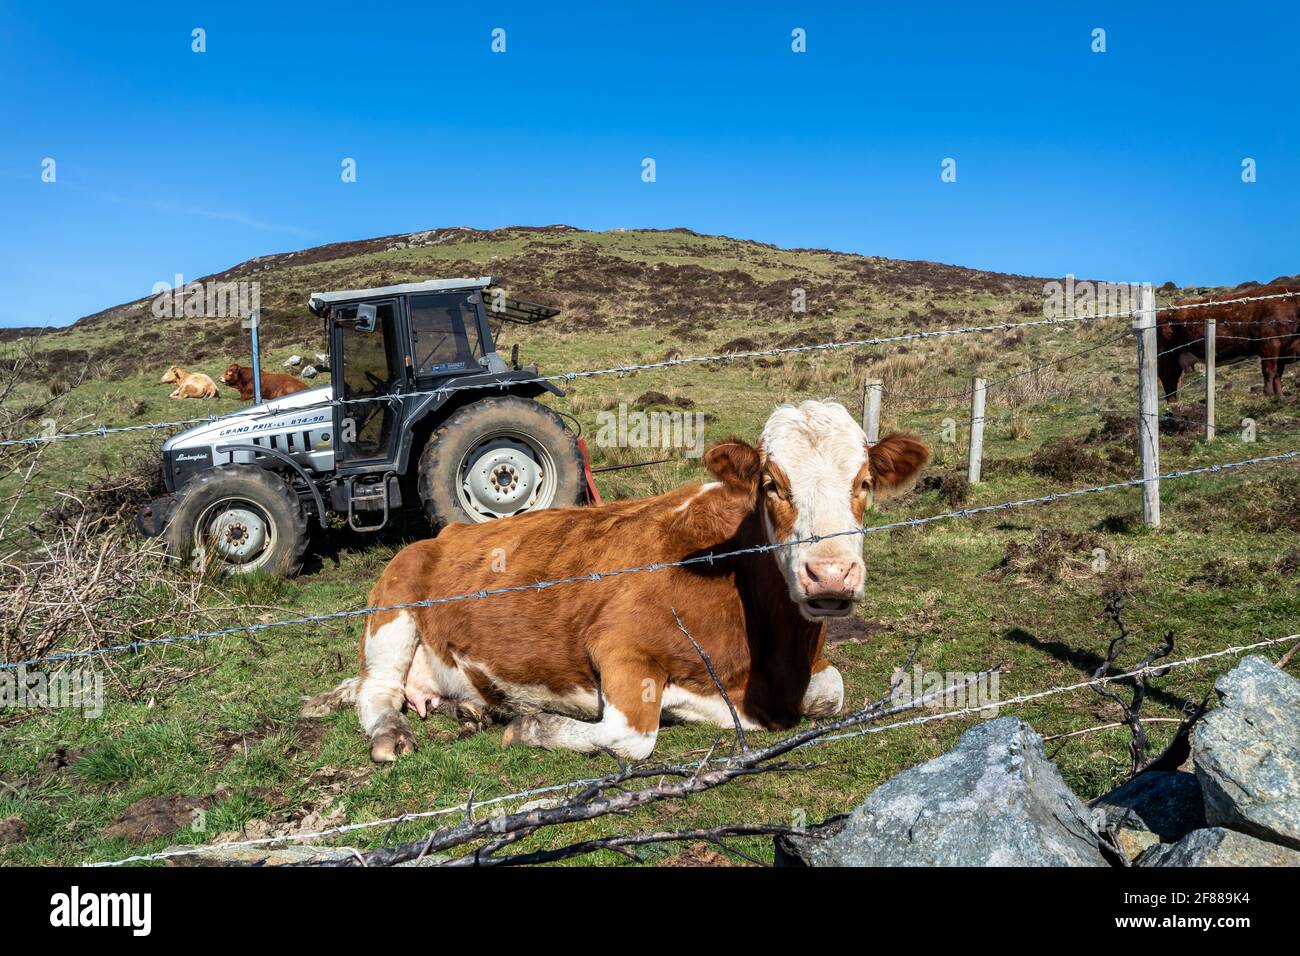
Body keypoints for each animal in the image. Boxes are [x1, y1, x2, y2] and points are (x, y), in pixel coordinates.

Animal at [302, 400, 930, 763]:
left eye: (865, 482)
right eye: (772, 484)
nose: (830, 574)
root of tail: (444, 533)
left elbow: (832, 691)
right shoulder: (621, 647)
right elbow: (634, 737)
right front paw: (533, 727)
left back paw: (471, 710)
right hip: (393, 607)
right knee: (378, 691)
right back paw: (392, 735)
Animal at [1157, 283, 1300, 399]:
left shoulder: (1283, 349)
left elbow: (1278, 374)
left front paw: (1280, 396)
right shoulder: (1269, 343)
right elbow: (1269, 371)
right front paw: (1268, 395)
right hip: (1167, 355)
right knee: (1168, 379)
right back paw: (1173, 404)